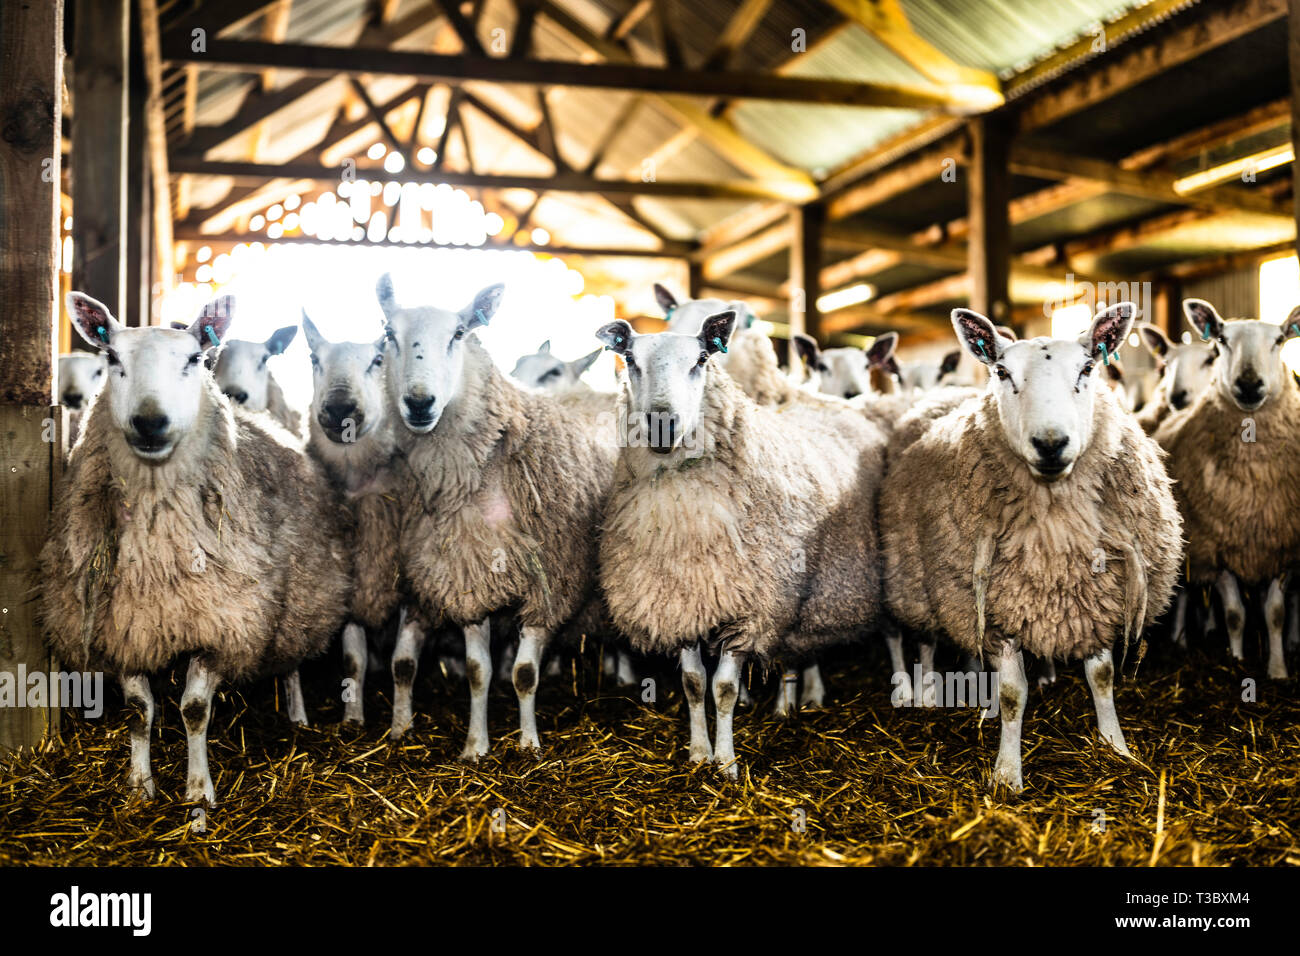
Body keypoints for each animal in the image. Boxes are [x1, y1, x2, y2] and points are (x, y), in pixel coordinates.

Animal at [40, 292, 351, 803]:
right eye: (112, 359)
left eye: (194, 360)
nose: (150, 422)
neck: (155, 553)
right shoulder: (124, 628)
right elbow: (138, 709)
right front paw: (140, 785)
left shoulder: (220, 626)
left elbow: (194, 711)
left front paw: (198, 792)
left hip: (299, 601)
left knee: (290, 662)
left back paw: (297, 716)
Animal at [378, 273, 616, 758]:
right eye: (389, 334)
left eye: (458, 333)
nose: (419, 402)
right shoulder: (465, 579)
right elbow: (472, 670)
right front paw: (472, 745)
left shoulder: (550, 585)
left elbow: (525, 674)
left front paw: (528, 744)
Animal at [596, 310, 889, 777]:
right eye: (629, 360)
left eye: (702, 359)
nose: (662, 423)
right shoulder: (682, 604)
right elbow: (694, 684)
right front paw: (698, 753)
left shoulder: (750, 608)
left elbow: (725, 689)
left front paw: (726, 762)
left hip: (805, 591)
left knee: (799, 649)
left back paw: (799, 701)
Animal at [880, 302, 1182, 791]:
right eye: (1002, 372)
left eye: (1087, 368)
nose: (1051, 443)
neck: (1055, 536)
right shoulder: (999, 612)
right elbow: (1010, 694)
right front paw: (1007, 774)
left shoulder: (1097, 602)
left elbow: (1102, 678)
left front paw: (1115, 747)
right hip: (918, 581)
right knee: (924, 640)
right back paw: (924, 693)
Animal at [1154, 299, 1300, 679]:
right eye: (1221, 340)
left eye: (1279, 339)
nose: (1248, 384)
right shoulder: (1216, 548)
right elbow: (1235, 614)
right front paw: (1235, 660)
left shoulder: (1280, 547)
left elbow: (1275, 614)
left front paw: (1278, 669)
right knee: (1184, 592)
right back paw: (1181, 638)